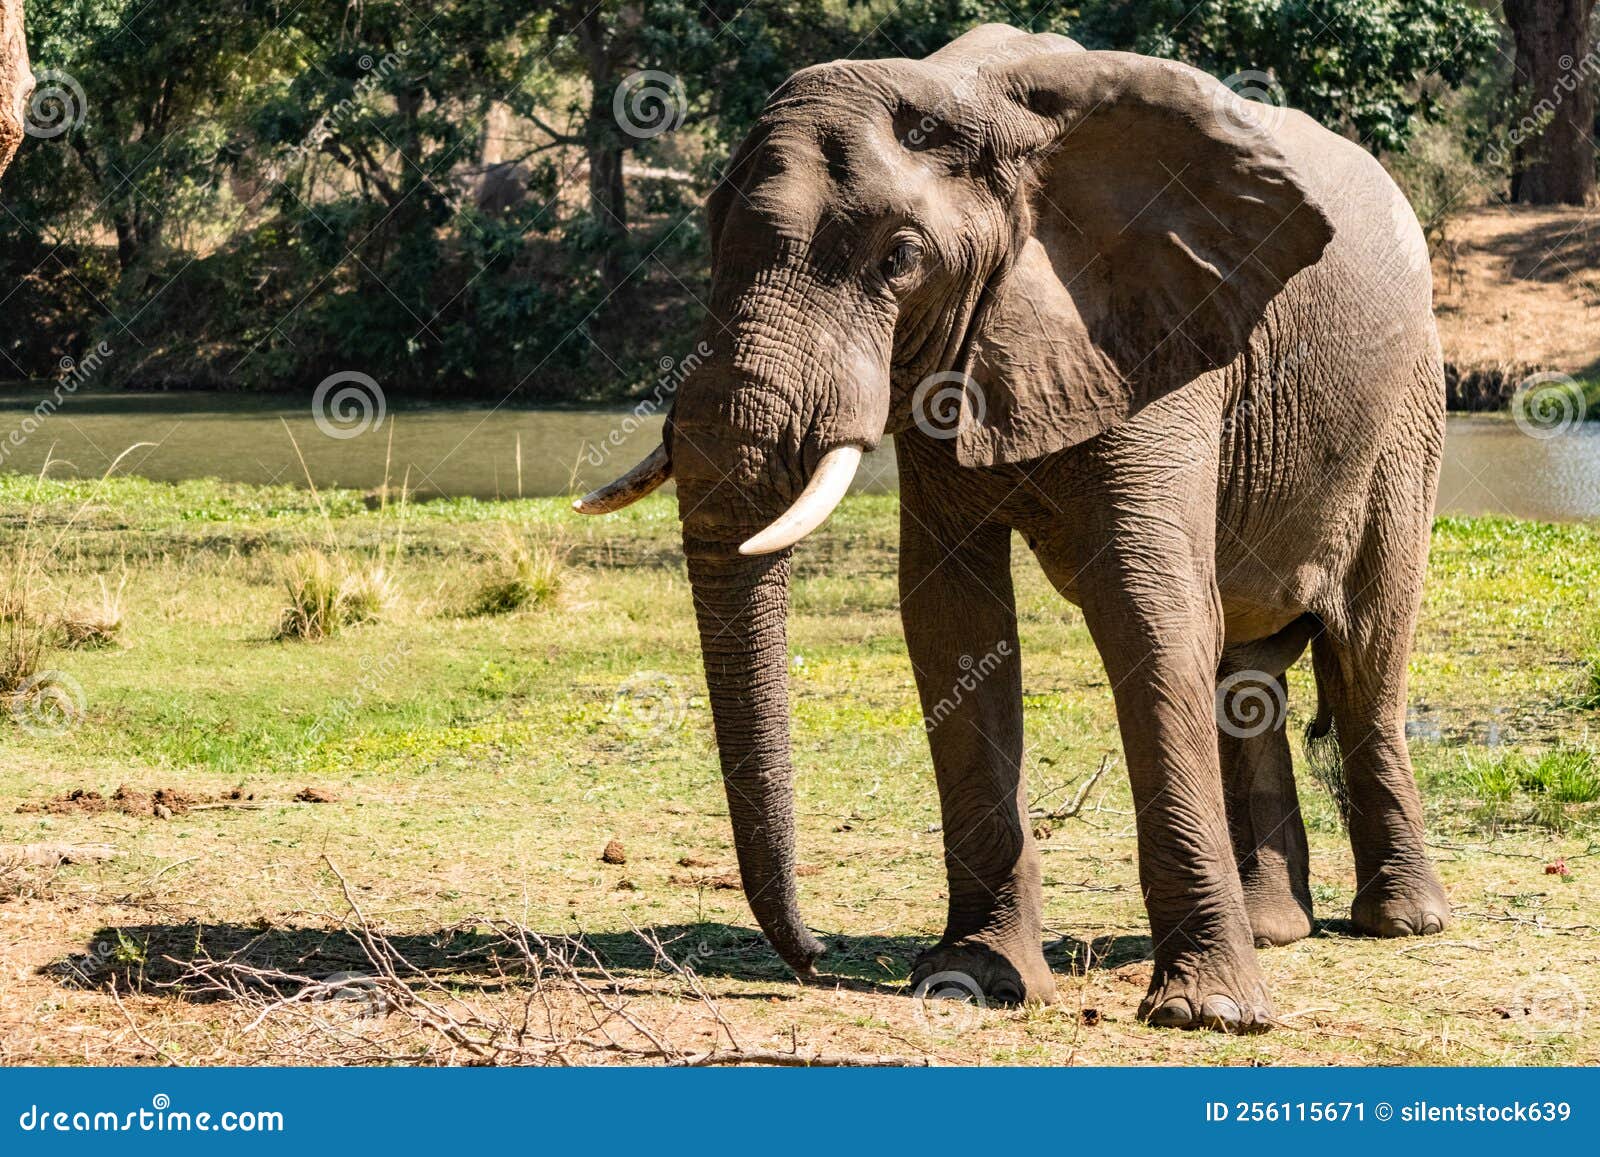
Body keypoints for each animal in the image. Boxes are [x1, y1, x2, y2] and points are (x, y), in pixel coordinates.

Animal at [577, 23, 1450, 1032]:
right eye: (712, 237)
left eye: (899, 260)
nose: (814, 954)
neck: (971, 97)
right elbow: (951, 616)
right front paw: (978, 979)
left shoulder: (1158, 335)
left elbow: (1149, 610)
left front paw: (1209, 1013)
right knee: (1251, 674)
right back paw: (1276, 928)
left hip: (1408, 415)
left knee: (1365, 656)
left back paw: (1402, 922)